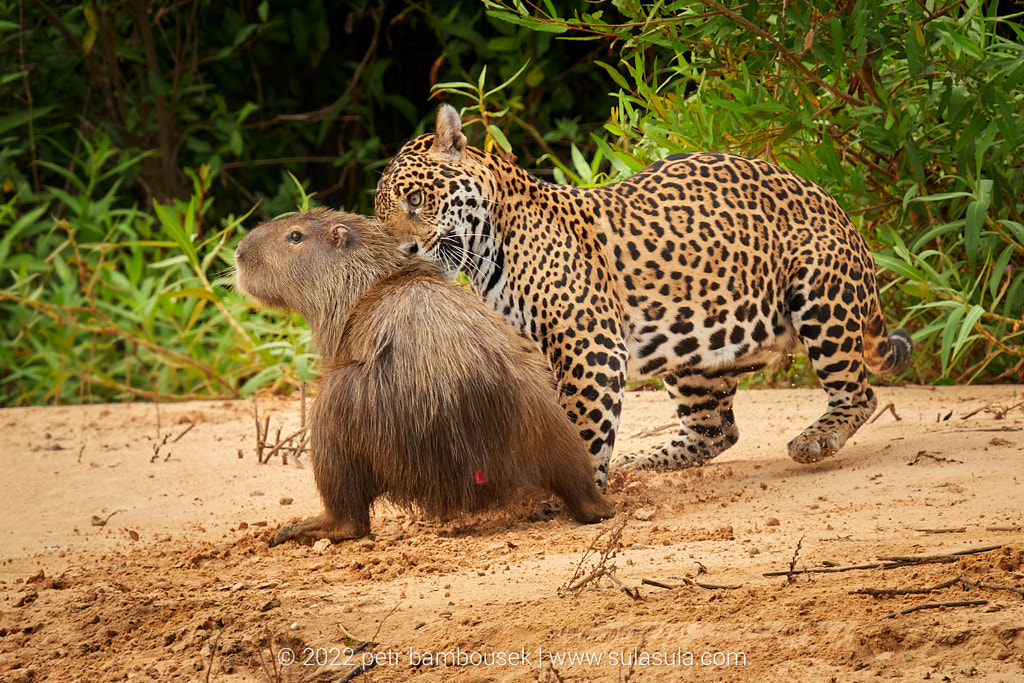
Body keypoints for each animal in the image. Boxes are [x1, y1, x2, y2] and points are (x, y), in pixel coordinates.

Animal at [375, 104, 913, 488]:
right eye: (381, 217)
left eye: (417, 199)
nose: (403, 252)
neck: (485, 254)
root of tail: (842, 215)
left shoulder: (587, 346)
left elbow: (581, 426)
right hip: (695, 353)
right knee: (716, 432)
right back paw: (642, 460)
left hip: (821, 297)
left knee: (859, 393)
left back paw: (816, 439)